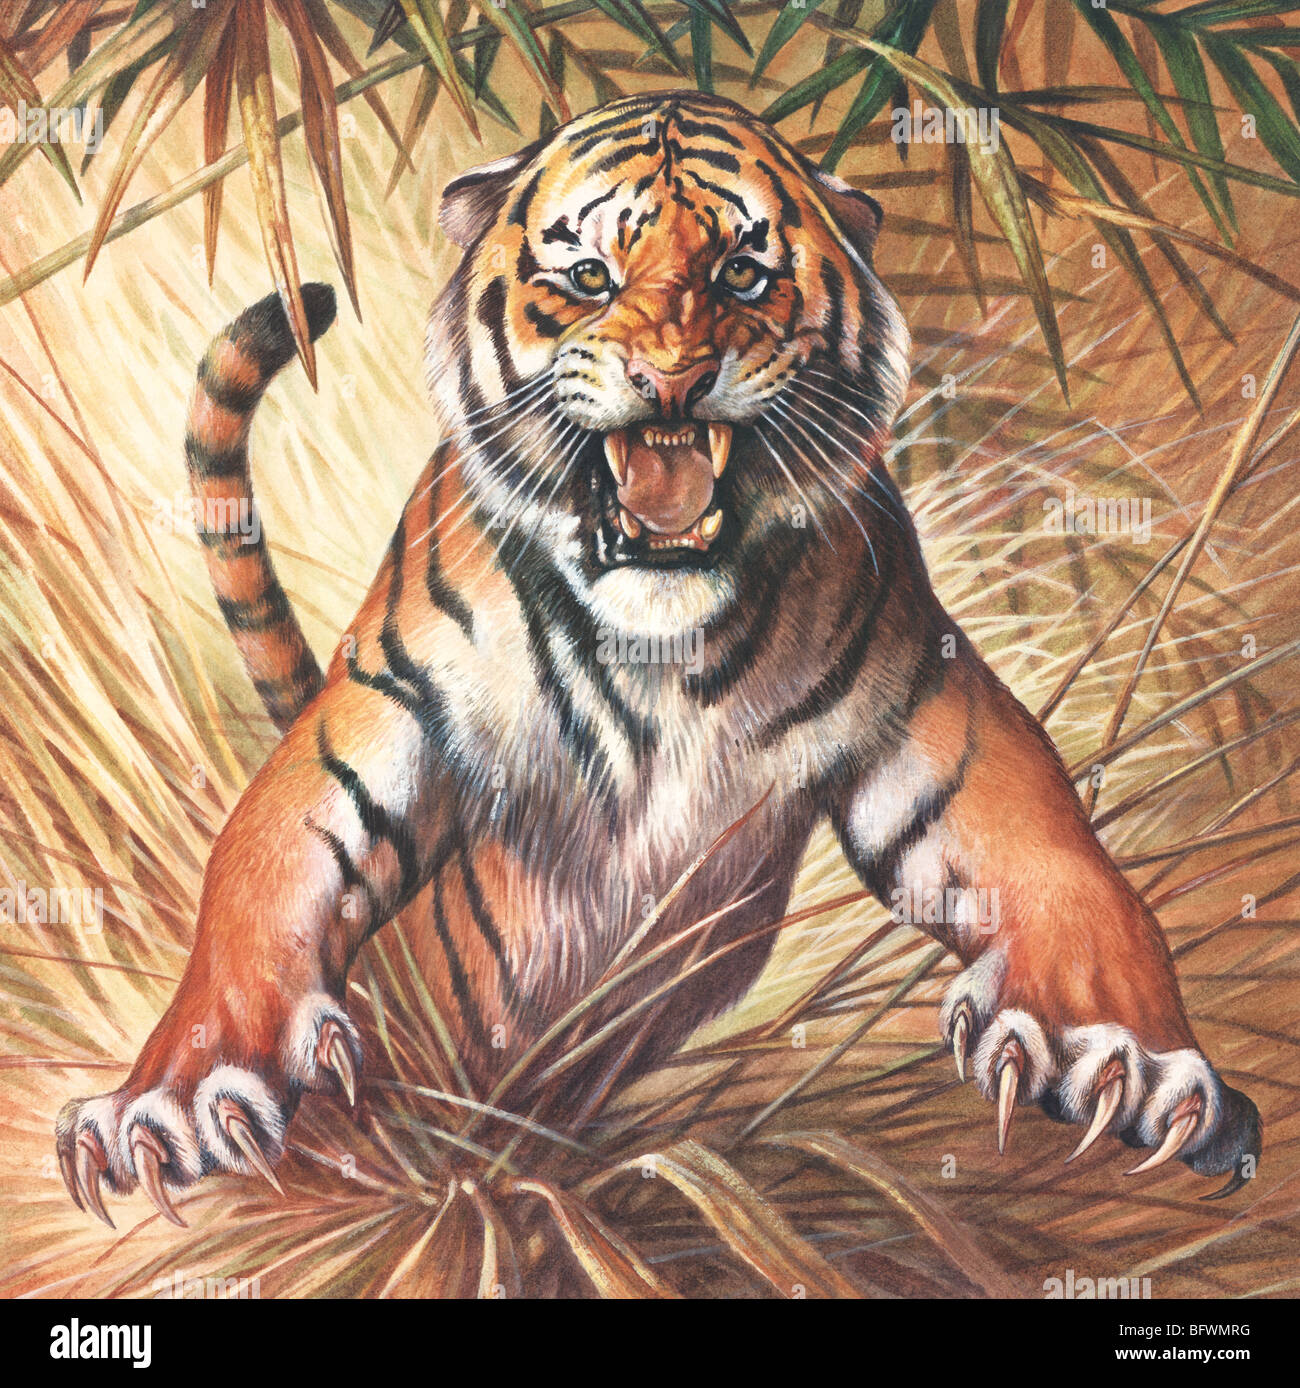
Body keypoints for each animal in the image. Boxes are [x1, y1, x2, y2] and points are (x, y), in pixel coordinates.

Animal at [57, 90, 1259, 1232]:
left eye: (741, 272)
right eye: (588, 276)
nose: (672, 376)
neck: (661, 634)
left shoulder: (927, 697)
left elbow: (1068, 870)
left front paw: (1114, 1052)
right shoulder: (389, 699)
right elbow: (258, 870)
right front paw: (181, 1098)